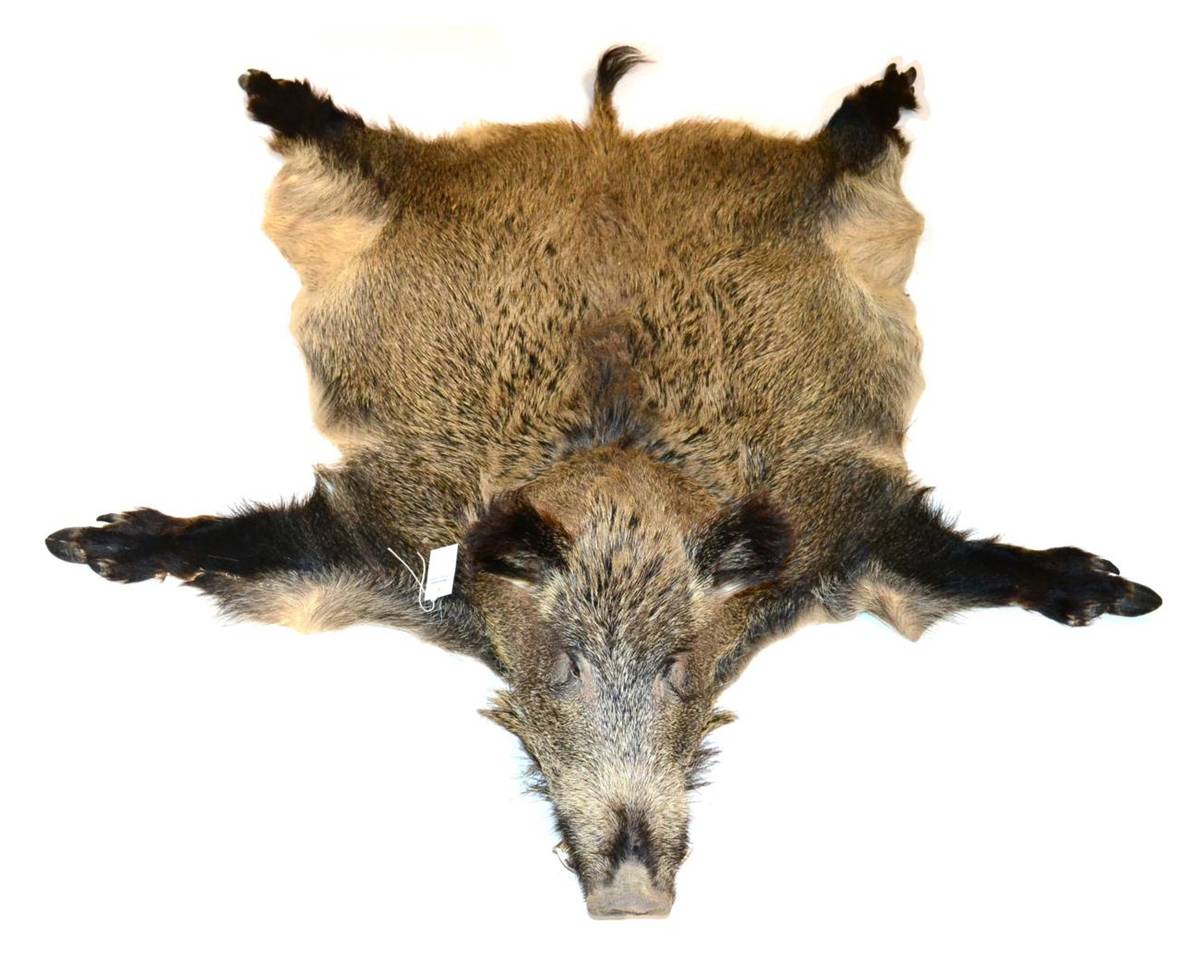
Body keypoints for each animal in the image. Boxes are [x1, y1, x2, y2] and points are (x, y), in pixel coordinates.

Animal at [45, 46, 1161, 919]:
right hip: (375, 190)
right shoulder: (385, 532)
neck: (619, 475)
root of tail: (605, 137)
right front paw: (79, 543)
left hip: (837, 202)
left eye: (680, 666)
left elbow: (960, 563)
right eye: (565, 666)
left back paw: (888, 88)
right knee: (340, 140)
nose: (633, 897)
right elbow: (247, 550)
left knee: (853, 147)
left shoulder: (842, 525)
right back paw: (266, 89)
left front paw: (1131, 594)